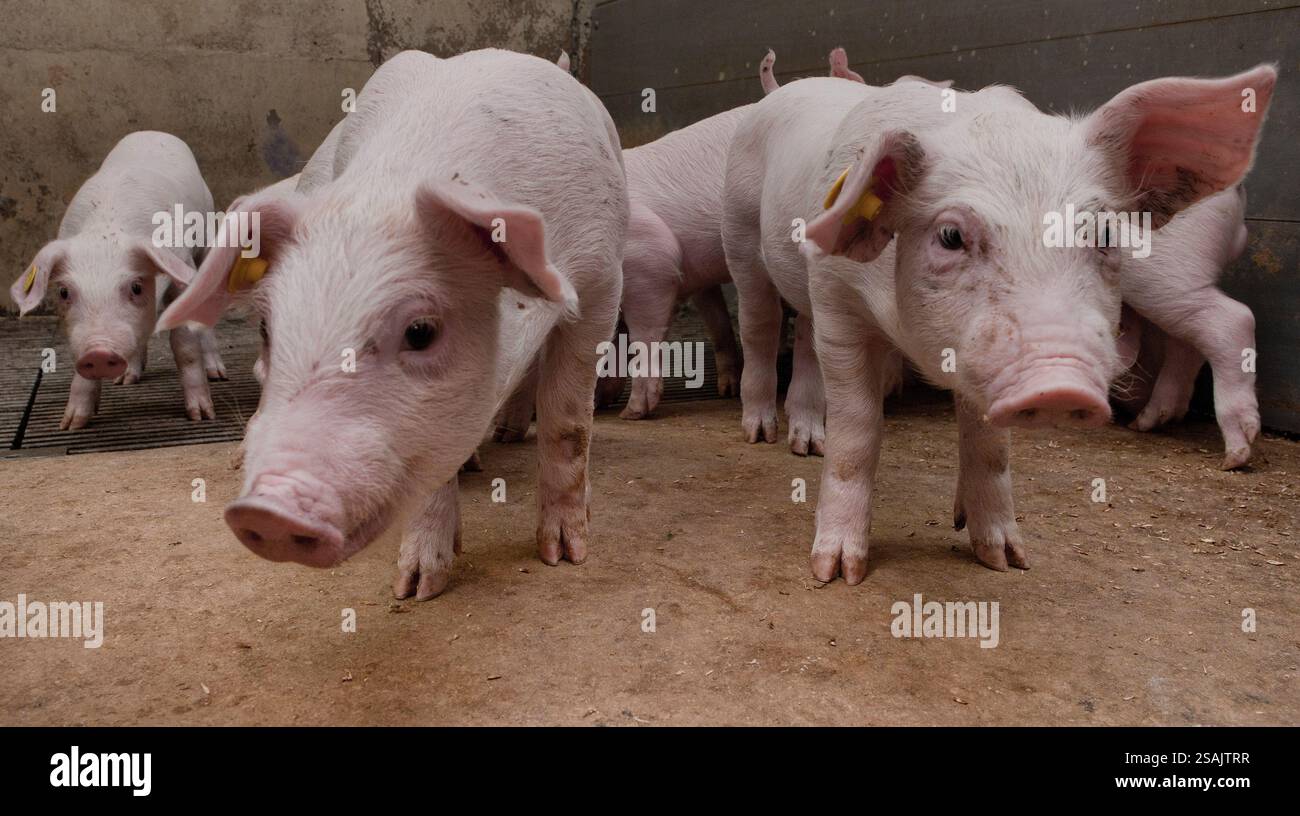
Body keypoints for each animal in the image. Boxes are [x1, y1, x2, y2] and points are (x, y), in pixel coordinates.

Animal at [9, 131, 225, 430]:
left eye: (136, 287)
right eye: (64, 292)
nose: (98, 353)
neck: (106, 231)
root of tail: (153, 132)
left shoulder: (180, 275)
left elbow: (184, 347)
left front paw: (201, 416)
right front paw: (71, 424)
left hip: (206, 236)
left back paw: (217, 373)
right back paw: (126, 380)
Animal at [157, 49, 627, 600]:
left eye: (420, 331)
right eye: (268, 328)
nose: (266, 511)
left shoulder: (603, 279)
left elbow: (569, 422)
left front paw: (564, 555)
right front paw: (416, 589)